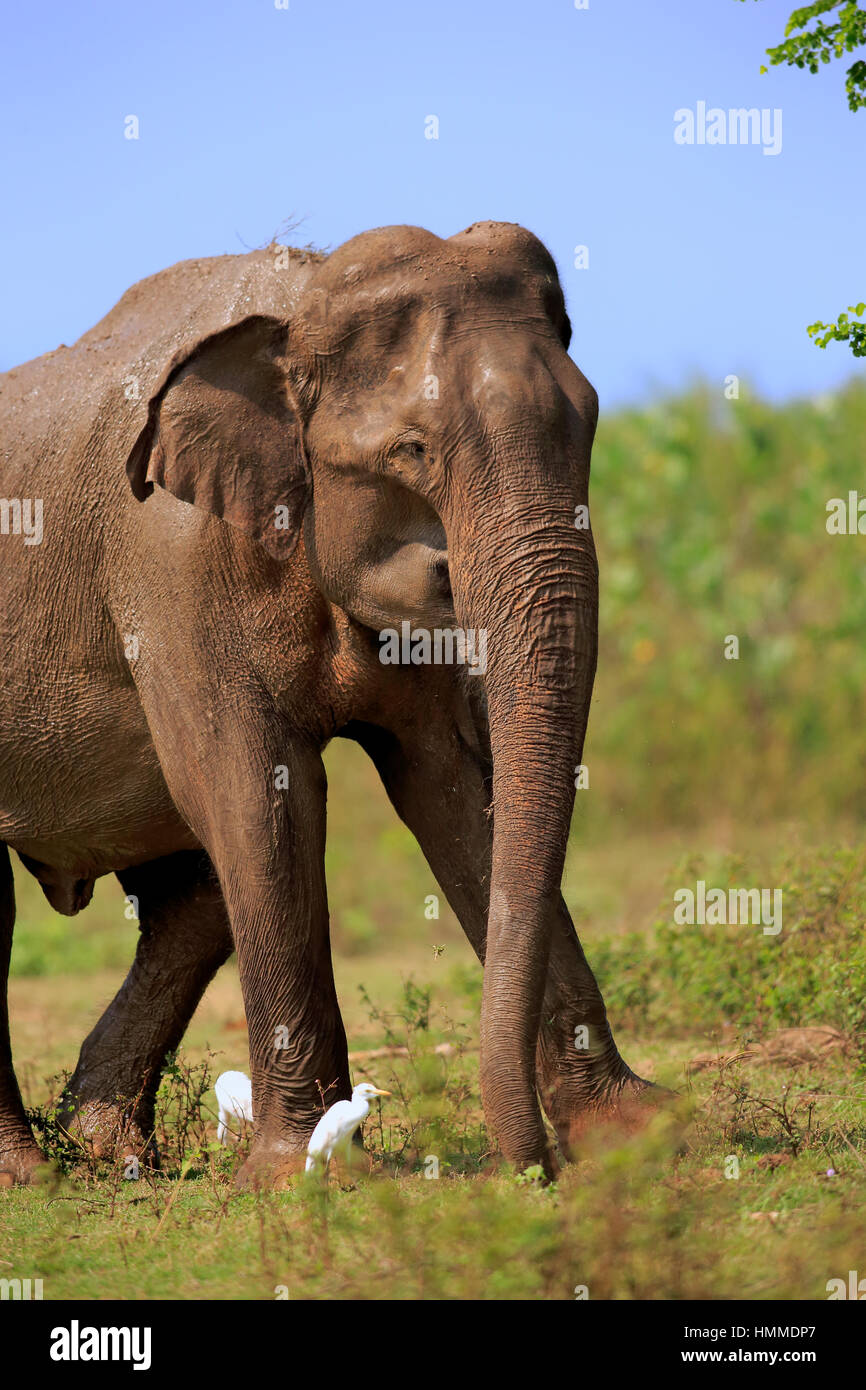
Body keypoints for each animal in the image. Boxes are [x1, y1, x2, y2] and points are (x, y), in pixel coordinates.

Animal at [0, 221, 652, 1186]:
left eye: (594, 420)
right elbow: (258, 796)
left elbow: (455, 788)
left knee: (192, 899)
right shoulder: (171, 568)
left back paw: (110, 1153)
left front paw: (640, 1131)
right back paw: (30, 1173)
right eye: (411, 452)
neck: (295, 311)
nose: (537, 1166)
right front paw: (297, 1174)